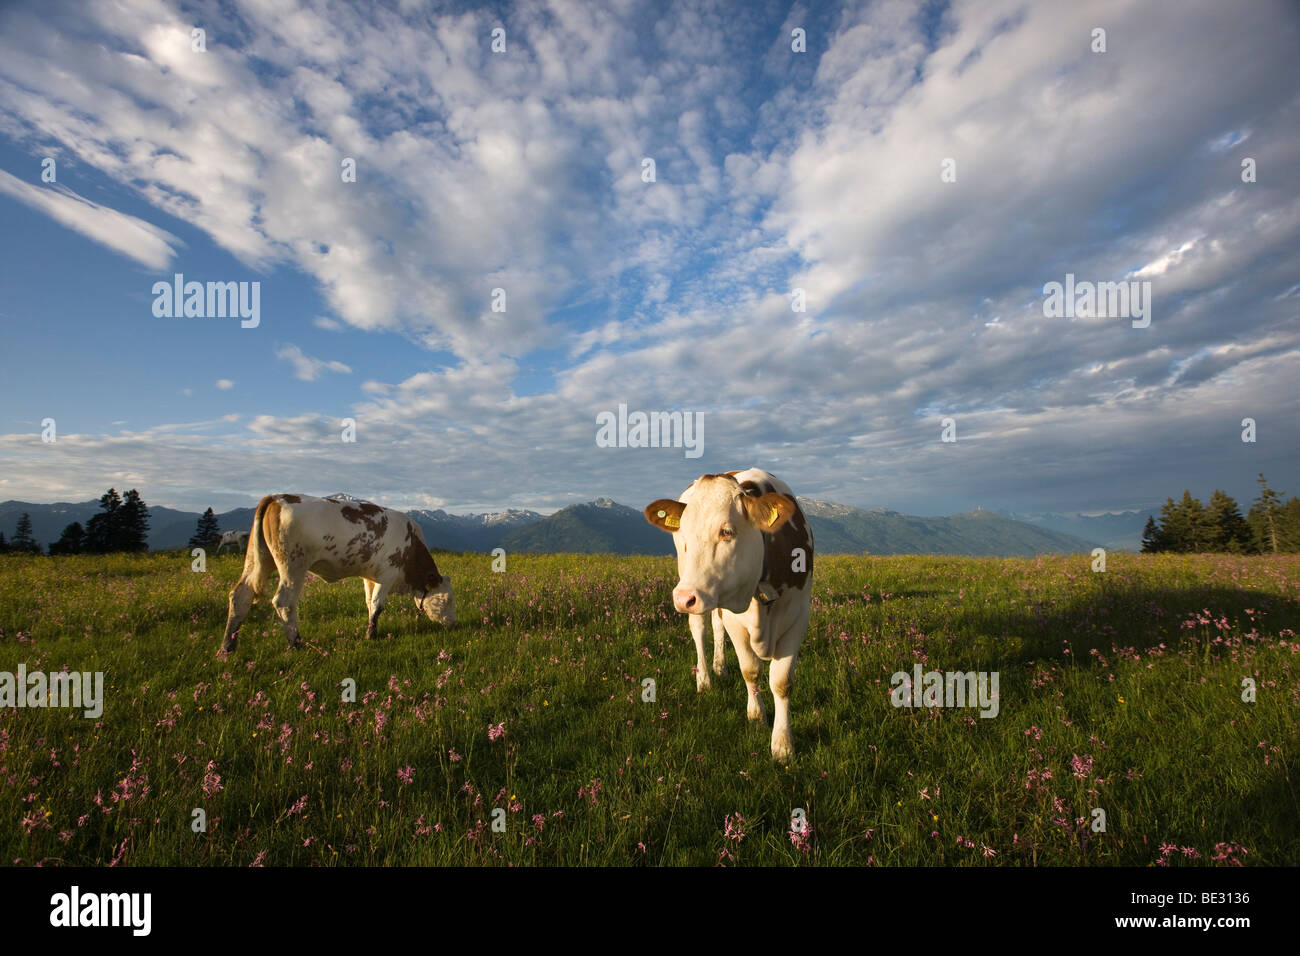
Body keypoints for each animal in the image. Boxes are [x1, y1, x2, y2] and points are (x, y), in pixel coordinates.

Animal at [219, 493, 455, 656]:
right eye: (447, 599)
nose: (453, 623)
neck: (411, 544)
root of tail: (277, 497)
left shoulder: (370, 576)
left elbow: (369, 604)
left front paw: (371, 630)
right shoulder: (388, 573)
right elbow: (378, 605)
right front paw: (371, 636)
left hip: (258, 559)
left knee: (240, 596)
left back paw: (228, 646)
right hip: (293, 565)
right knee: (284, 602)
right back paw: (297, 643)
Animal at [644, 469, 813, 760]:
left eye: (727, 531)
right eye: (684, 534)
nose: (682, 598)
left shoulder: (799, 615)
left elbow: (781, 682)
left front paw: (782, 744)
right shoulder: (737, 619)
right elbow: (750, 670)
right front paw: (757, 716)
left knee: (716, 623)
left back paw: (720, 666)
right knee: (700, 629)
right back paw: (704, 680)